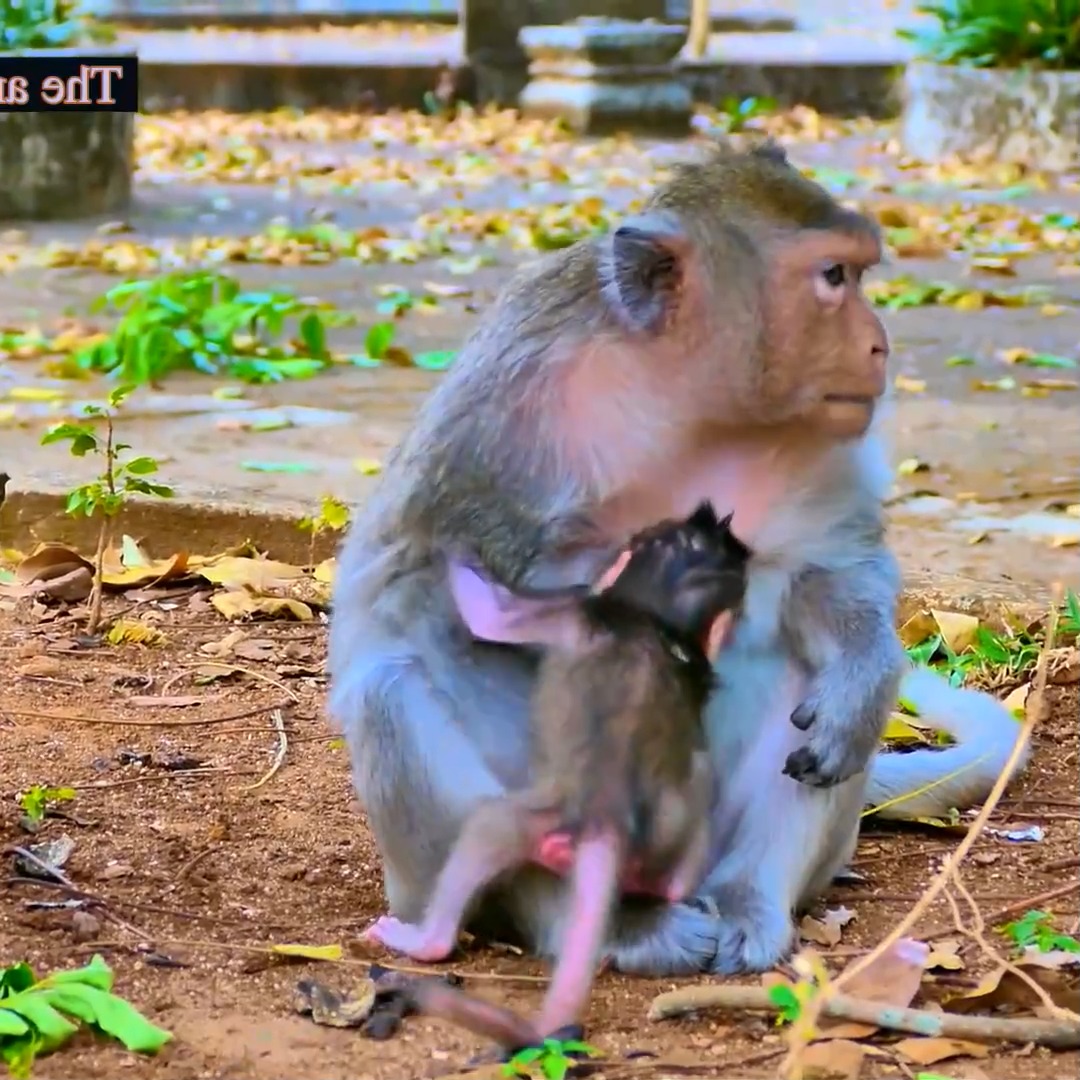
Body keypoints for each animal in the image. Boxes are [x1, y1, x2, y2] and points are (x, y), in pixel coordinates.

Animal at [327, 138, 1030, 979]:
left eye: (859, 273)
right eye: (834, 276)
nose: (878, 343)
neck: (684, 401)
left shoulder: (824, 436)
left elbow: (830, 568)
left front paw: (861, 676)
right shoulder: (512, 392)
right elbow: (431, 582)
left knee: (801, 672)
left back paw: (746, 900)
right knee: (393, 690)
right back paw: (602, 923)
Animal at [365, 501, 752, 1049]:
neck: (649, 616)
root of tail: (608, 818)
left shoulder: (572, 608)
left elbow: (491, 614)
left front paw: (450, 543)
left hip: (538, 820)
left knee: (489, 826)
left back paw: (426, 942)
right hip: (669, 828)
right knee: (695, 793)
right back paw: (672, 888)